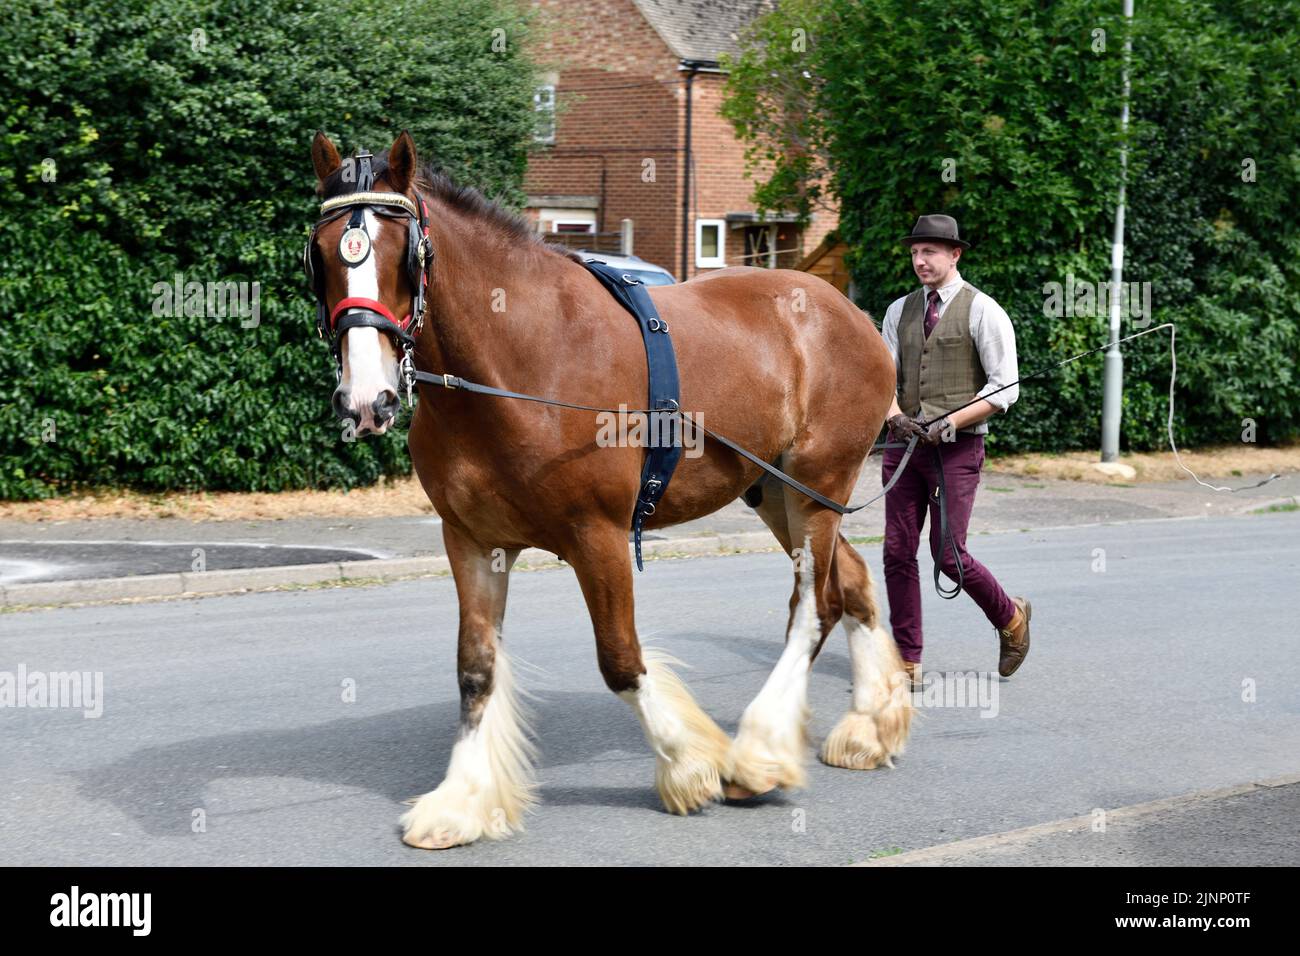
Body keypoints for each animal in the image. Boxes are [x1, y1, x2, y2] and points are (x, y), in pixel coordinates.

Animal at [306, 131, 913, 849]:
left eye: (405, 252)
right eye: (321, 252)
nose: (365, 400)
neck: (521, 360)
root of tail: (848, 314)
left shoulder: (596, 537)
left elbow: (621, 659)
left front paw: (689, 764)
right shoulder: (472, 542)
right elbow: (476, 668)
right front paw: (461, 801)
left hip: (817, 487)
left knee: (815, 606)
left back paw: (758, 754)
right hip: (774, 491)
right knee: (851, 582)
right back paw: (870, 726)